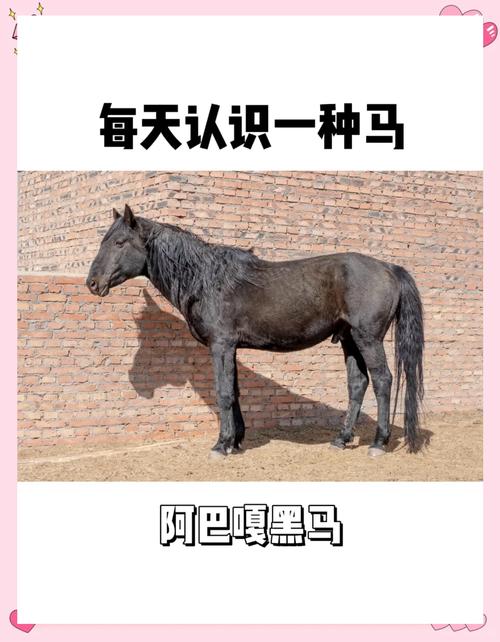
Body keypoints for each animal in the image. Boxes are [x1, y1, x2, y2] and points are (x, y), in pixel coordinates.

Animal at [87, 204, 424, 458]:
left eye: (119, 242)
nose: (92, 282)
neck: (206, 279)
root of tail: (388, 268)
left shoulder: (221, 345)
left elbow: (223, 392)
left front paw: (221, 445)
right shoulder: (231, 347)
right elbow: (234, 392)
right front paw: (236, 441)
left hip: (368, 339)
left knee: (382, 381)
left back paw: (378, 443)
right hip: (349, 340)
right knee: (357, 384)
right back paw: (341, 439)